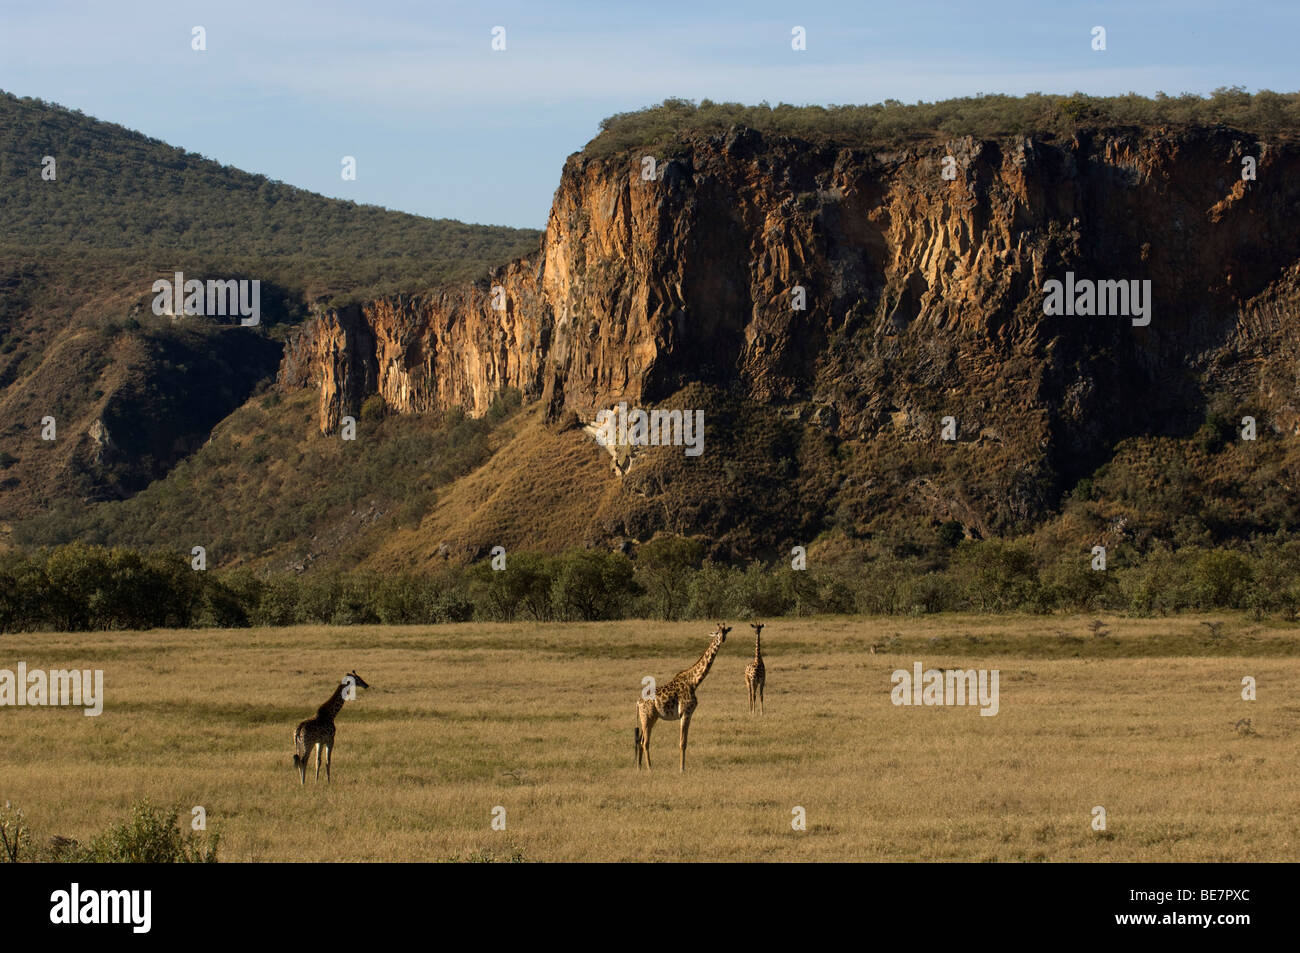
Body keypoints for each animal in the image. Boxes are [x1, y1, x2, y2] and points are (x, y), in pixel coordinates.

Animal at [634, 623, 731, 772]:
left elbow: (685, 742)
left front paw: (682, 767)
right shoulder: (685, 712)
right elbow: (682, 743)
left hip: (650, 718)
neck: (694, 681)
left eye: (725, 631)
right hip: (647, 717)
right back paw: (650, 768)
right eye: (717, 633)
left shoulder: (688, 714)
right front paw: (682, 769)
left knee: (640, 740)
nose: (722, 639)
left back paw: (639, 768)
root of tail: (638, 702)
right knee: (645, 742)